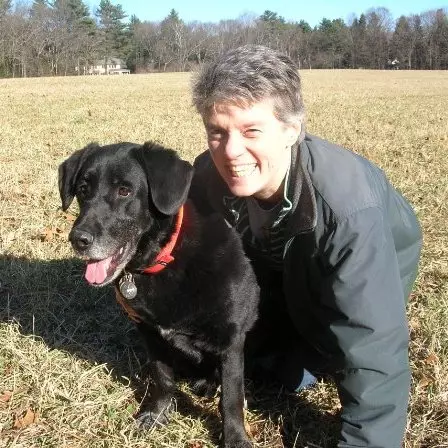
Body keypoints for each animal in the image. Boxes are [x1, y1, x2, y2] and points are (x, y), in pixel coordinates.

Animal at [60, 142, 262, 446]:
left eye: (125, 191)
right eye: (83, 189)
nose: (78, 240)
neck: (165, 258)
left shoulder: (230, 341)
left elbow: (231, 398)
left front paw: (236, 438)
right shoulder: (151, 334)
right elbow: (162, 379)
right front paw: (157, 414)